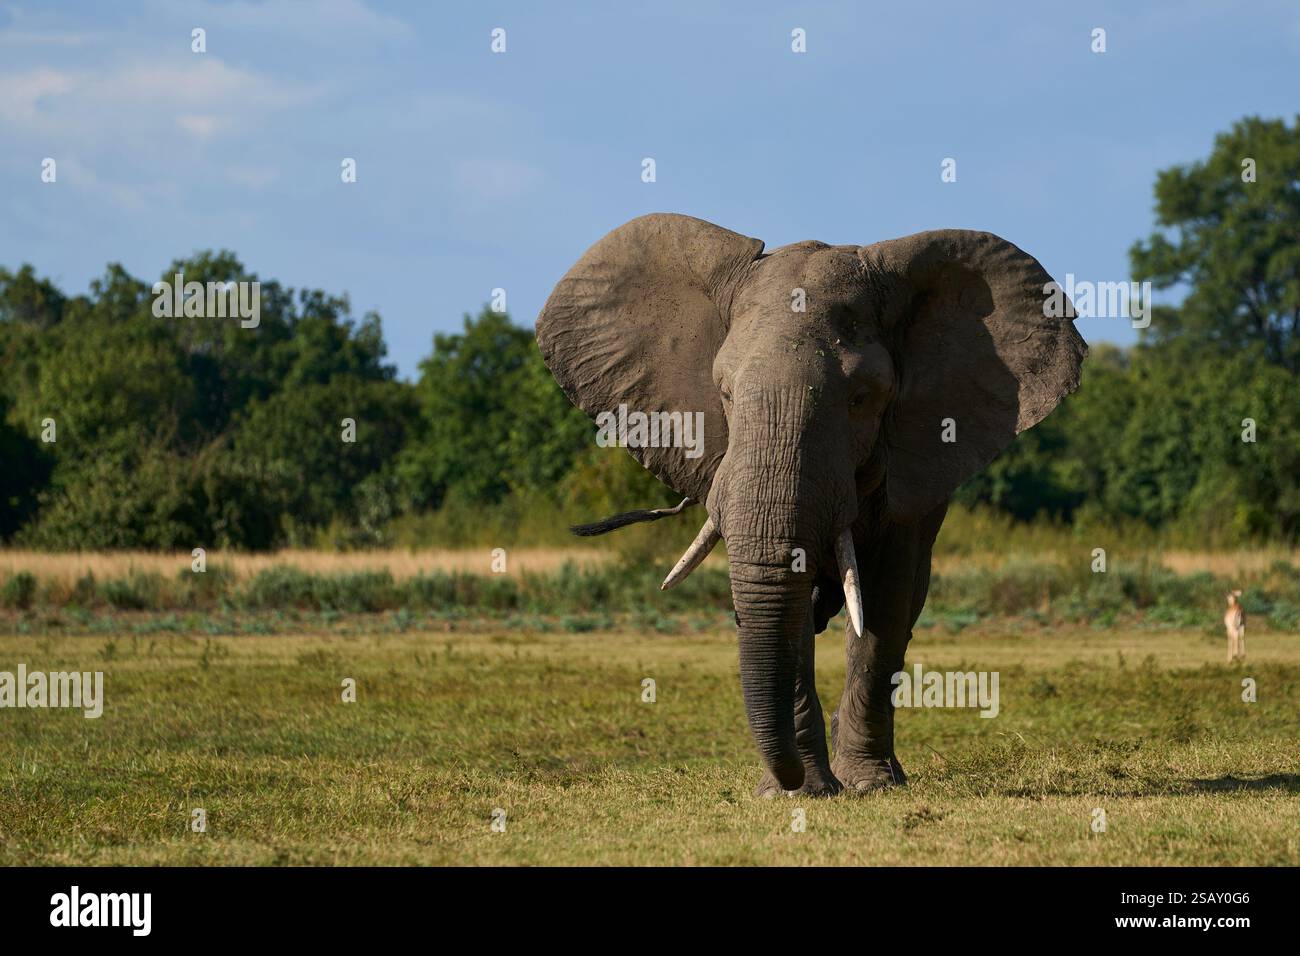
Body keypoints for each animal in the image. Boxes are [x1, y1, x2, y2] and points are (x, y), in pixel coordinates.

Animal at [536, 213, 1086, 796]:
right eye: (724, 393)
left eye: (861, 398)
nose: (791, 776)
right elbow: (785, 608)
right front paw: (801, 791)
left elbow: (885, 602)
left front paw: (868, 785)